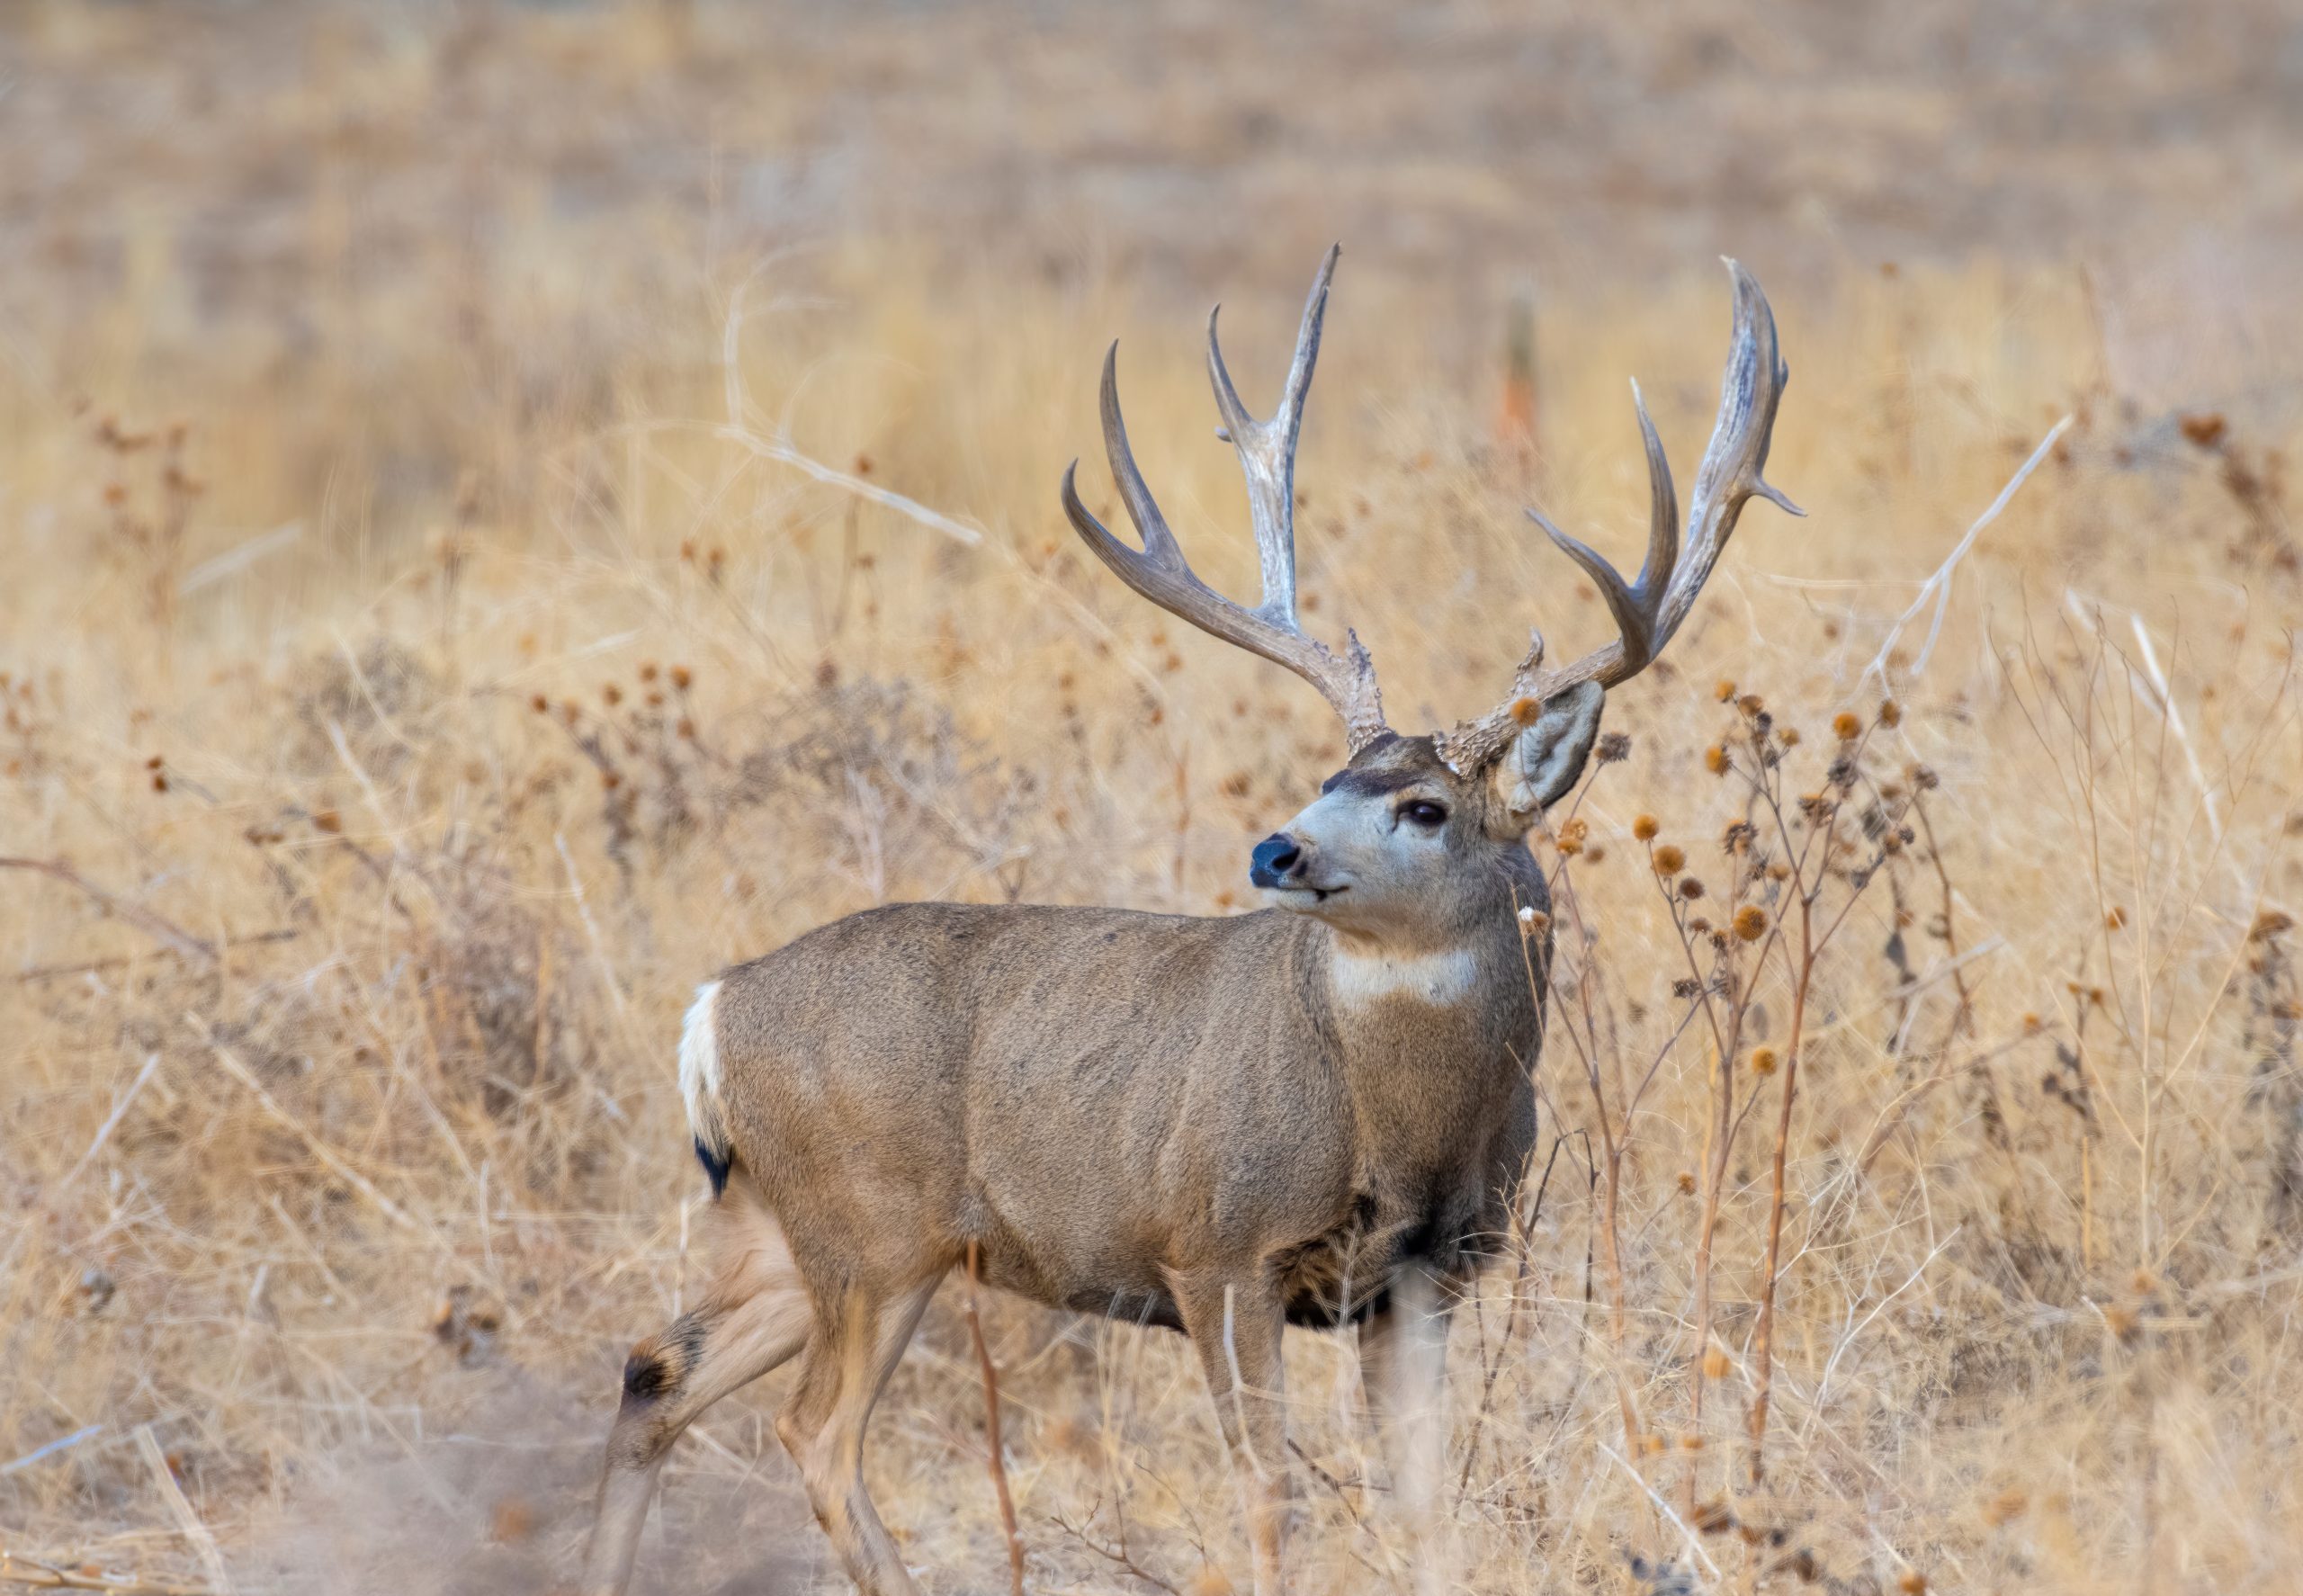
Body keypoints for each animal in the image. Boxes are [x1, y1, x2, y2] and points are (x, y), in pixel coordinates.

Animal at [577, 249, 1794, 1596]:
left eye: (1423, 804)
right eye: (1328, 776)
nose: (1279, 848)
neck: (1399, 1123)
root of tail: (715, 1007)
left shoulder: (1427, 1275)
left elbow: (1426, 1504)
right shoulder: (1216, 1248)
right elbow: (1270, 1494)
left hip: (780, 1227)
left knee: (654, 1368)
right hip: (874, 1228)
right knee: (816, 1433)